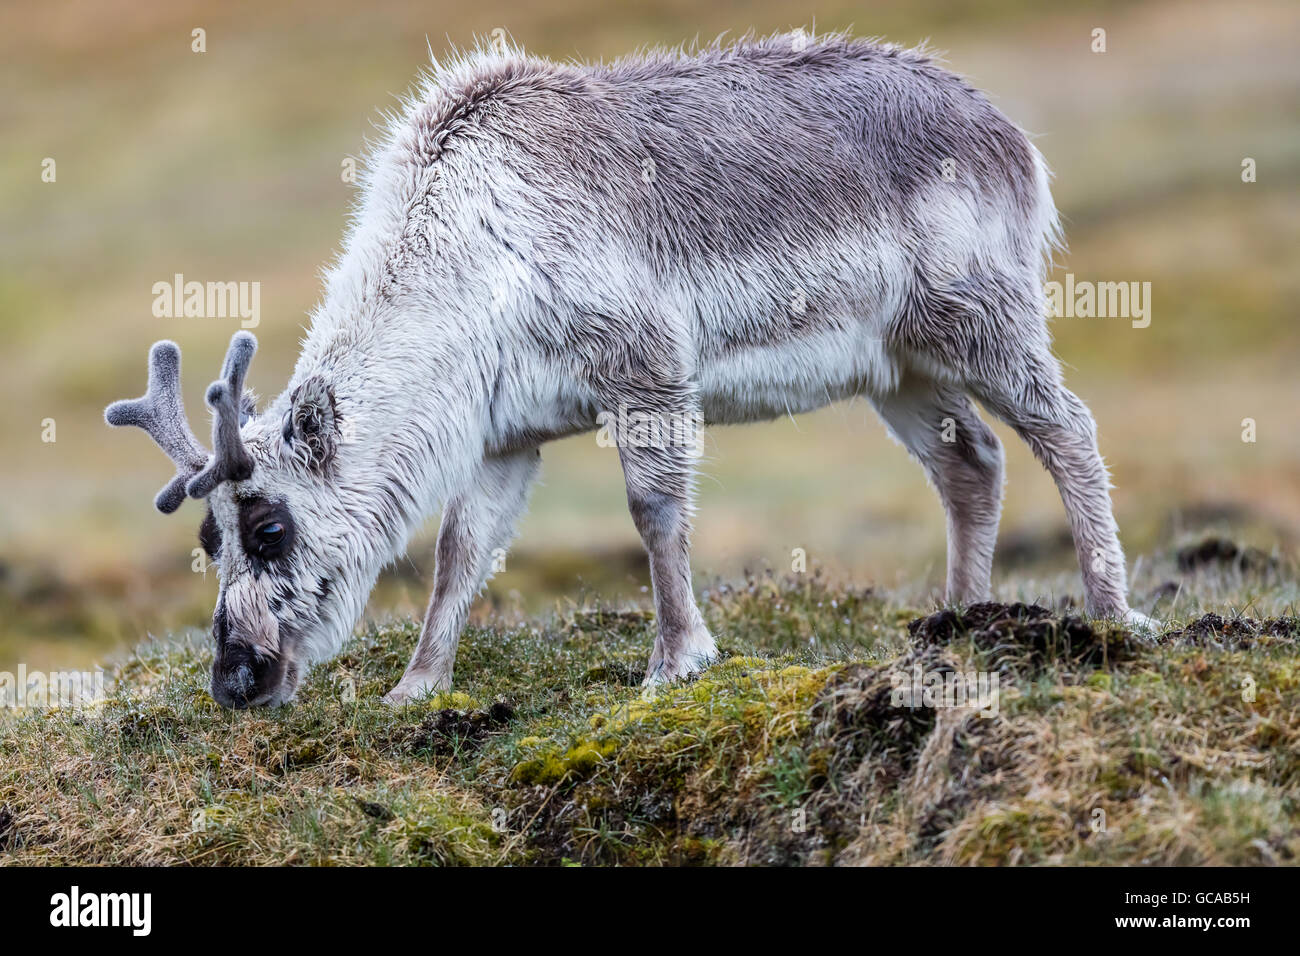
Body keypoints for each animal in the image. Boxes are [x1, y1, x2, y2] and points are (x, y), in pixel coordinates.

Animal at [105, 32, 1153, 709]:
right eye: (207, 539)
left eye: (269, 526)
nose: (234, 677)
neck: (469, 258)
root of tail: (1013, 138)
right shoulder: (507, 436)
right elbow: (458, 553)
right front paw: (416, 685)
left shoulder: (647, 369)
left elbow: (654, 513)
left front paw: (676, 659)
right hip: (898, 368)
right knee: (971, 460)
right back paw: (957, 617)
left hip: (979, 319)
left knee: (1068, 427)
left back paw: (1112, 611)